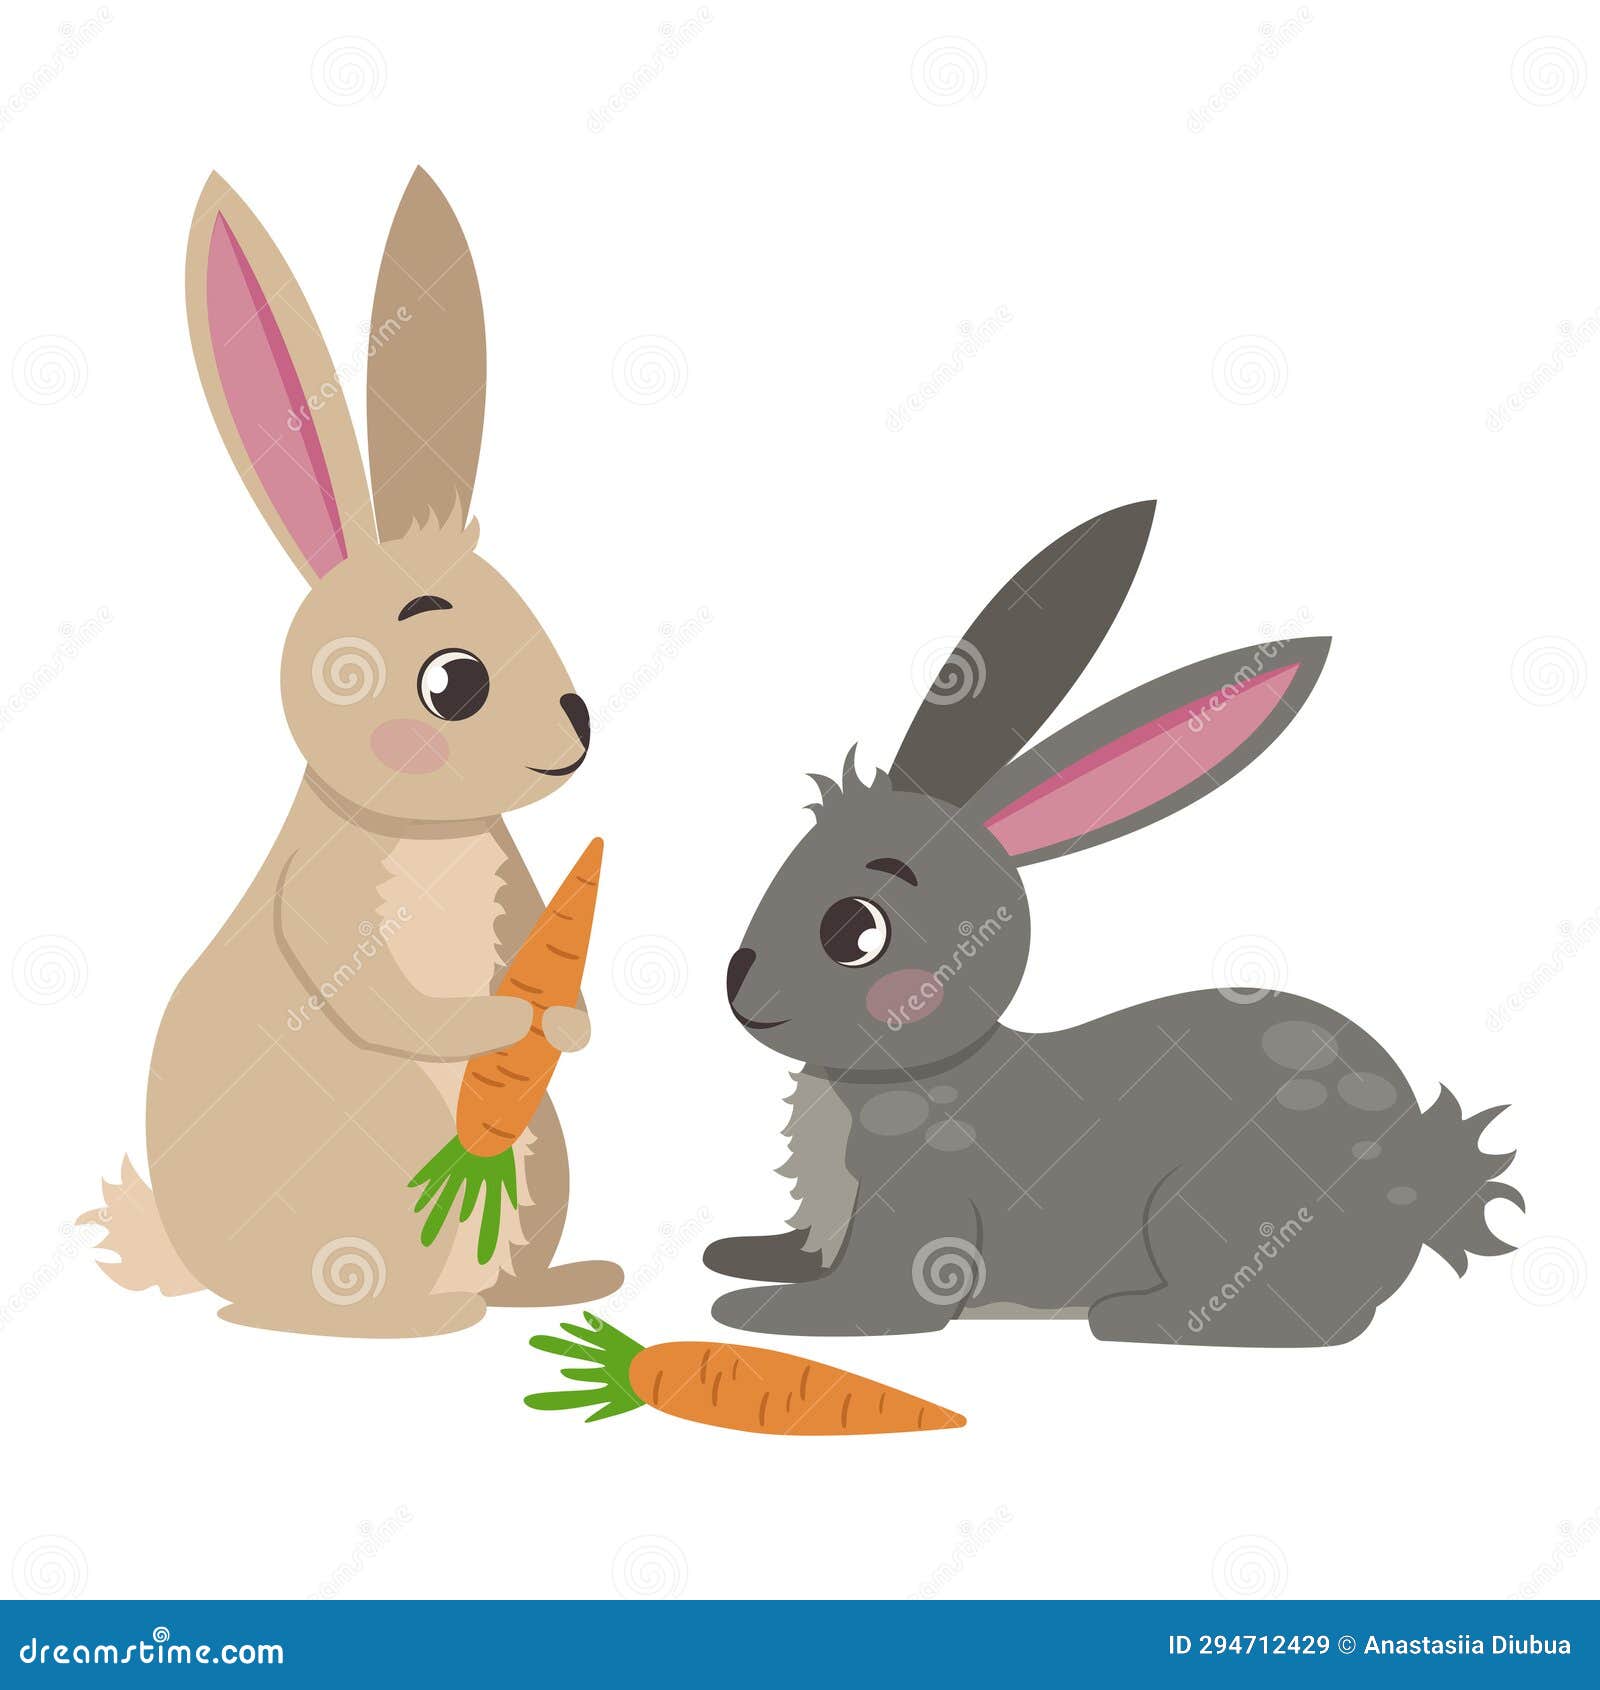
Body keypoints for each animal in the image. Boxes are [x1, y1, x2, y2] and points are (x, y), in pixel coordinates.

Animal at [79, 169, 623, 1336]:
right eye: (452, 681)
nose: (579, 723)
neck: (423, 827)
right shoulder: (323, 903)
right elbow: (383, 998)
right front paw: (506, 1015)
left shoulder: (511, 881)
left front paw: (569, 1020)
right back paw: (413, 1317)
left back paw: (562, 1287)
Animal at [706, 502, 1521, 1344]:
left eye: (855, 931)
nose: (738, 981)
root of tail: (1420, 1176)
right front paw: (734, 1253)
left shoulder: (922, 1228)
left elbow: (874, 1300)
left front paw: (746, 1308)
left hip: (1212, 1207)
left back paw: (1133, 1314)